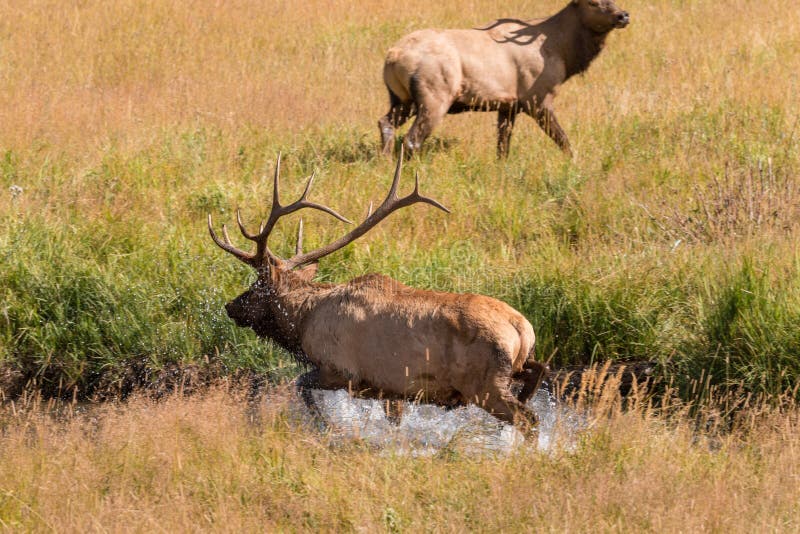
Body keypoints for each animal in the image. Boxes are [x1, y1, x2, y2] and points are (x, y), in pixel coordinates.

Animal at [208, 148, 547, 428]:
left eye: (257, 285)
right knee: (537, 371)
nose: (230, 306)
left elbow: (301, 386)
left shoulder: (342, 371)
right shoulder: (392, 390)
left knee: (527, 418)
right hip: (511, 368)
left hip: (484, 384)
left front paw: (326, 426)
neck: (303, 321)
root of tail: (522, 328)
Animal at [378, 0, 630, 158]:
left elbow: (502, 148)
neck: (562, 52)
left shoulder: (508, 105)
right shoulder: (537, 97)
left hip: (402, 99)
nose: (623, 15)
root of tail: (393, 56)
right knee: (412, 139)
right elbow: (564, 141)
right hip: (435, 95)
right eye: (592, 3)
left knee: (385, 123)